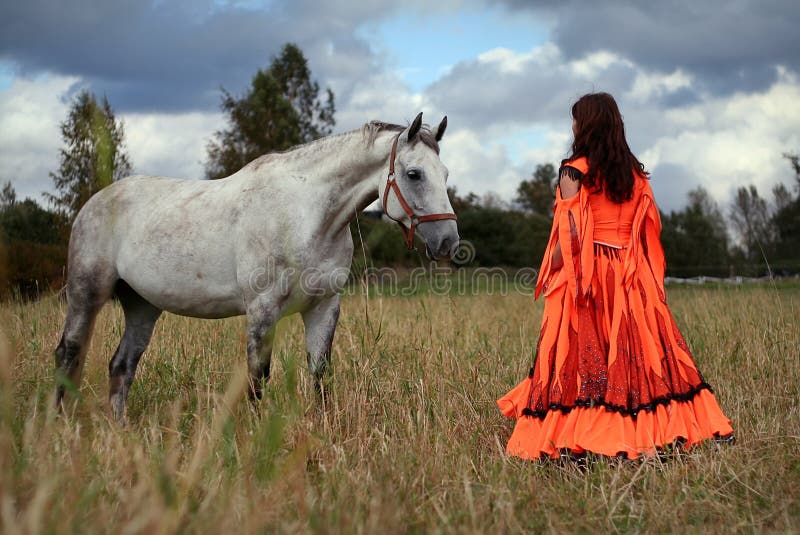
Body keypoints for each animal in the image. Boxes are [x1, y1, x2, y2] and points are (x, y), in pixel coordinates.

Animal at [53, 112, 459, 421]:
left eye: (445, 174)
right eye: (414, 174)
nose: (448, 242)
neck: (304, 215)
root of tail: (95, 202)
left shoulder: (324, 307)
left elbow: (320, 376)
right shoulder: (262, 309)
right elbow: (258, 377)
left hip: (142, 306)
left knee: (122, 366)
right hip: (86, 296)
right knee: (68, 354)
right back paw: (59, 428)